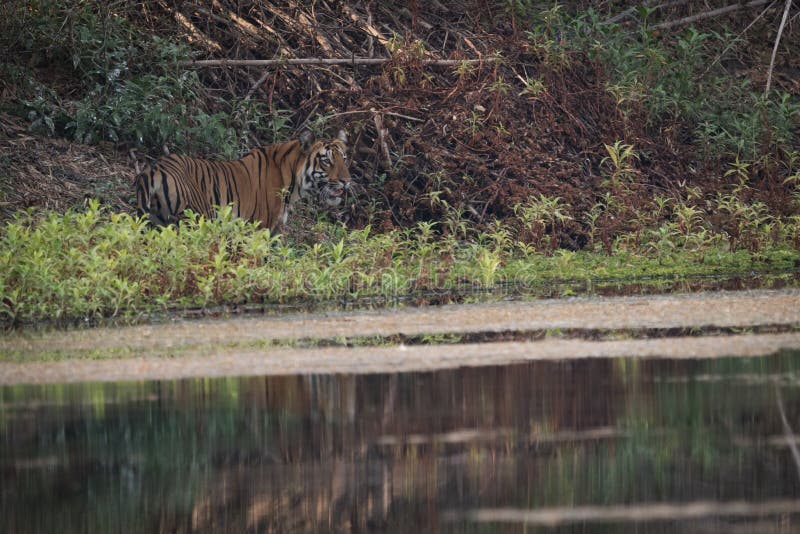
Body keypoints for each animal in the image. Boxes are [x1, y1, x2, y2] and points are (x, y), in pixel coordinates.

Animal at [134, 129, 351, 231]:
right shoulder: (261, 227)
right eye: (326, 161)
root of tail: (155, 168)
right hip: (197, 218)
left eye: (344, 159)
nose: (347, 181)